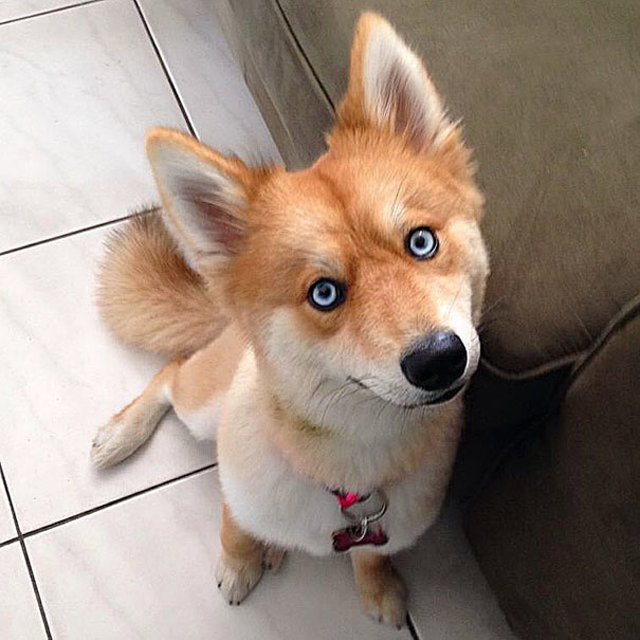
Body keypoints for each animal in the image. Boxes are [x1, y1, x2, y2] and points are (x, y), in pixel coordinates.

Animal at [90, 12, 489, 628]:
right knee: (172, 373)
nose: (440, 359)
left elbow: (372, 557)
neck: (356, 459)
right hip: (202, 404)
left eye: (422, 242)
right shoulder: (240, 490)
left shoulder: (387, 528)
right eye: (323, 293)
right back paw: (121, 435)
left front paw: (378, 589)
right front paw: (239, 562)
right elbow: (233, 525)